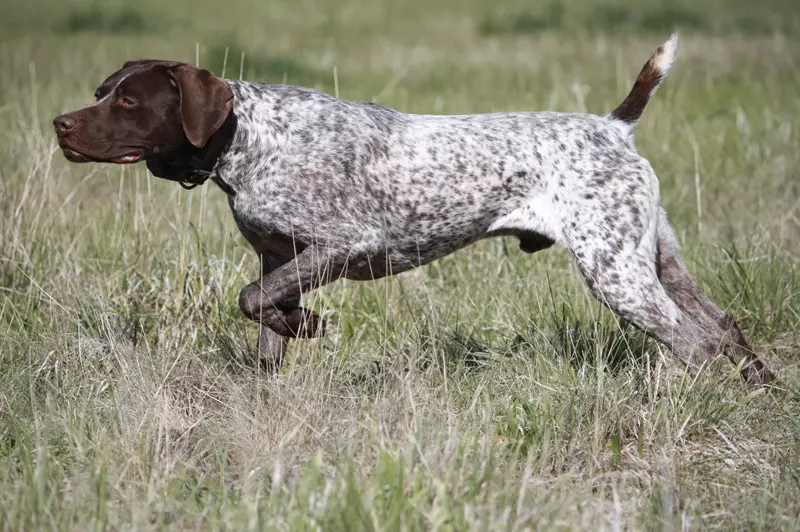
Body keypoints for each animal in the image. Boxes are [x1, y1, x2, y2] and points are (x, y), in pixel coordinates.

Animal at [53, 34, 772, 382]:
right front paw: (294, 334)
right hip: (656, 260)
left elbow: (252, 302)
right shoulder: (278, 260)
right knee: (726, 326)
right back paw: (759, 392)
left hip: (615, 272)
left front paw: (309, 324)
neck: (248, 138)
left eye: (128, 101)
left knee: (698, 341)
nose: (61, 125)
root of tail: (614, 126)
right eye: (102, 90)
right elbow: (265, 325)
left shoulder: (345, 245)